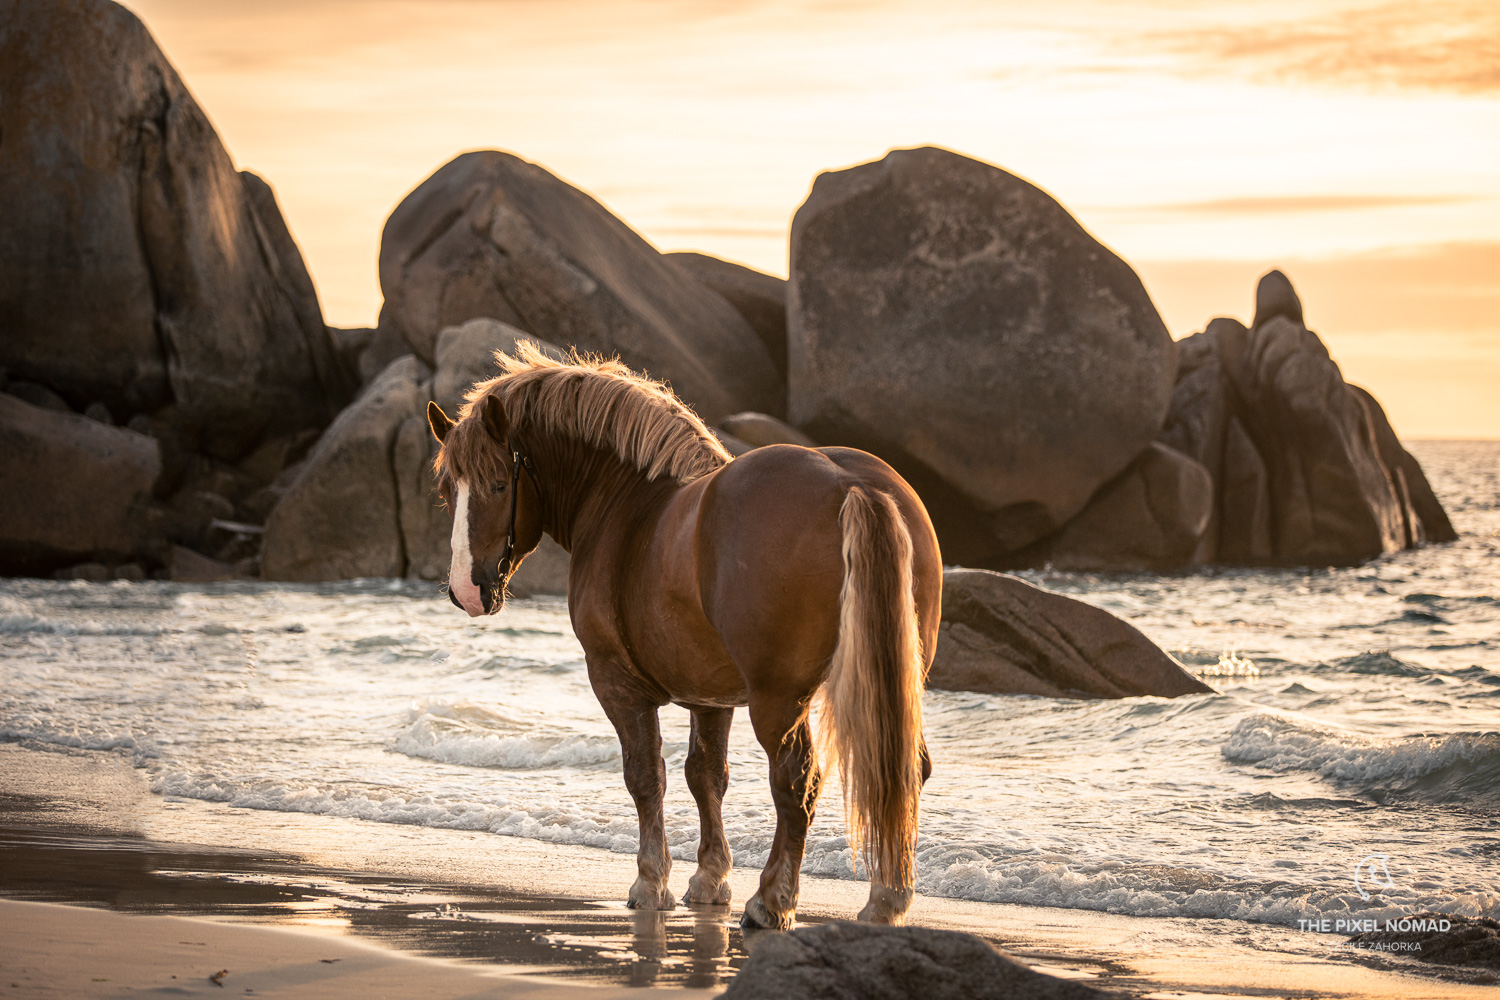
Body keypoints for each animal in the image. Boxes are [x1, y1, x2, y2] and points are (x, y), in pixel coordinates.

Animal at [425, 343, 941, 929]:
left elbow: (646, 775)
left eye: (497, 484)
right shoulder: (711, 696)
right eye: (446, 490)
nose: (466, 589)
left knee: (797, 780)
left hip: (779, 698)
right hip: (888, 683)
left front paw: (651, 881)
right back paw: (886, 897)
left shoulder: (617, 684)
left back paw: (773, 899)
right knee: (898, 769)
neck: (630, 505)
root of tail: (850, 485)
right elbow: (705, 775)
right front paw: (710, 877)